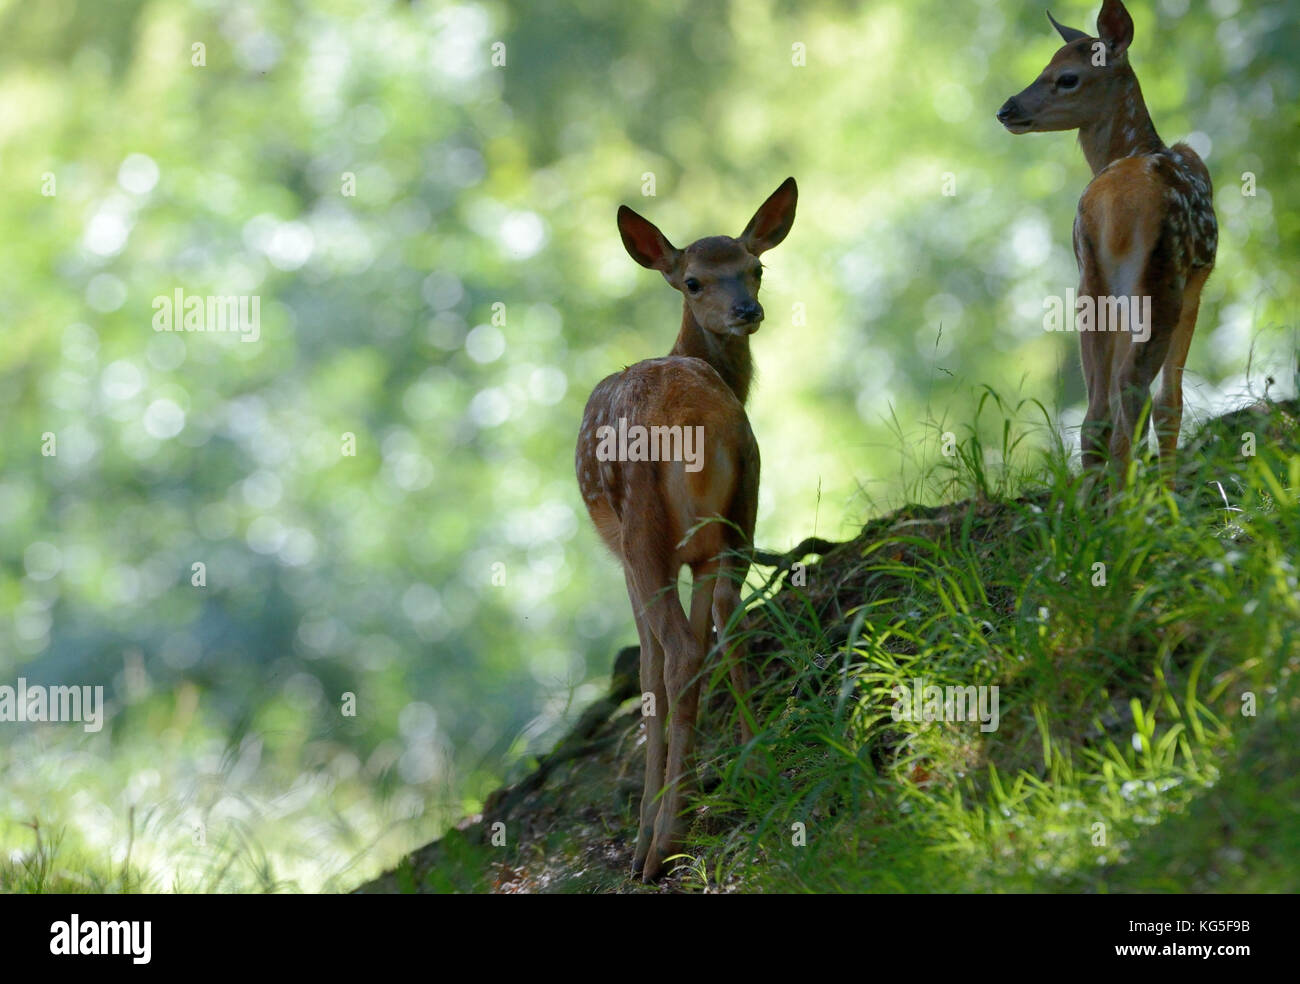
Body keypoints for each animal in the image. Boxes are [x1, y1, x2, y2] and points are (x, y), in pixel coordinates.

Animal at [575, 178, 797, 882]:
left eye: (756, 268)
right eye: (694, 281)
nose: (748, 309)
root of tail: (698, 420)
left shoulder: (625, 557)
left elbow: (648, 670)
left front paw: (651, 824)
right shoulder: (701, 553)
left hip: (644, 528)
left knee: (675, 654)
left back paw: (658, 843)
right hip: (745, 506)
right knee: (729, 628)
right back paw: (759, 765)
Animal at [997, 0, 1217, 488]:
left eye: (1066, 76)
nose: (1006, 108)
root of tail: (1114, 208)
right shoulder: (1198, 282)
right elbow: (1169, 402)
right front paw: (1169, 490)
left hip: (1091, 283)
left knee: (1100, 409)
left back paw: (1104, 500)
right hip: (1162, 278)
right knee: (1135, 391)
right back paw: (1134, 501)